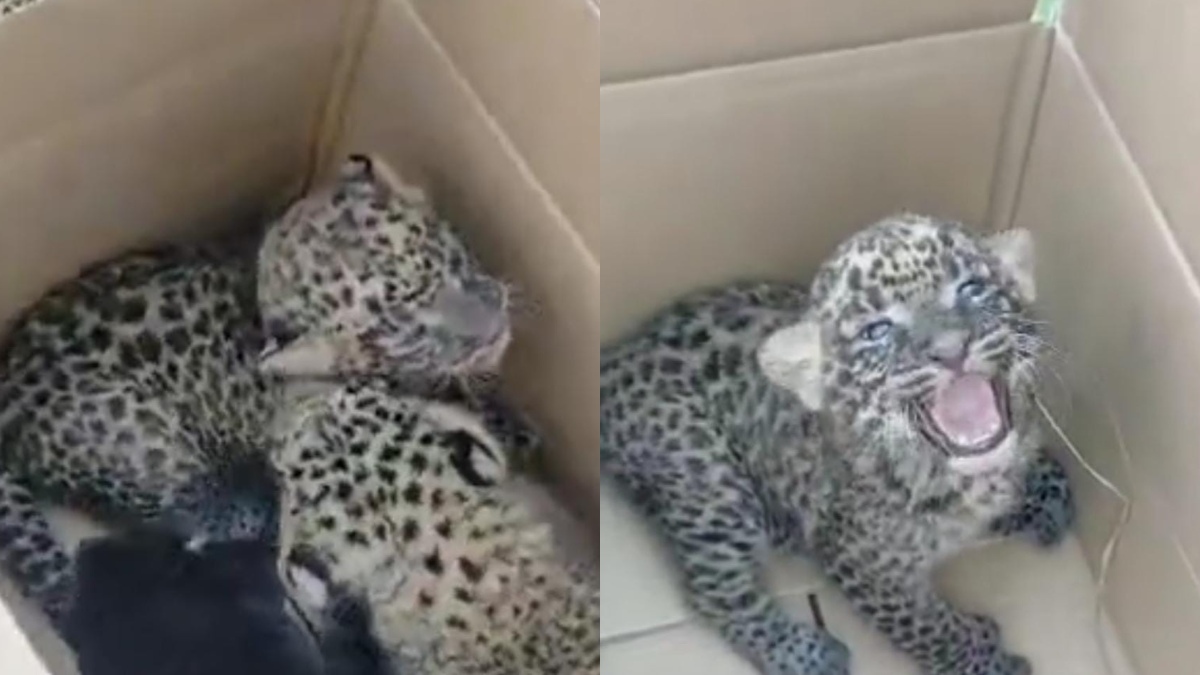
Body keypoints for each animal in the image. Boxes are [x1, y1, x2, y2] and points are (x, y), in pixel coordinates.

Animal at [0, 155, 521, 625]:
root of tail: (8, 372)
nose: (492, 325)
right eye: (401, 331)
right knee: (190, 516)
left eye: (446, 257)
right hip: (144, 443)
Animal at [600, 214, 1075, 675]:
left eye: (973, 288)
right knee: (714, 591)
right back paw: (805, 653)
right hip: (707, 479)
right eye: (877, 331)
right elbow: (929, 628)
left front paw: (1047, 497)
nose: (951, 349)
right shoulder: (862, 562)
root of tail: (615, 357)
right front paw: (987, 662)